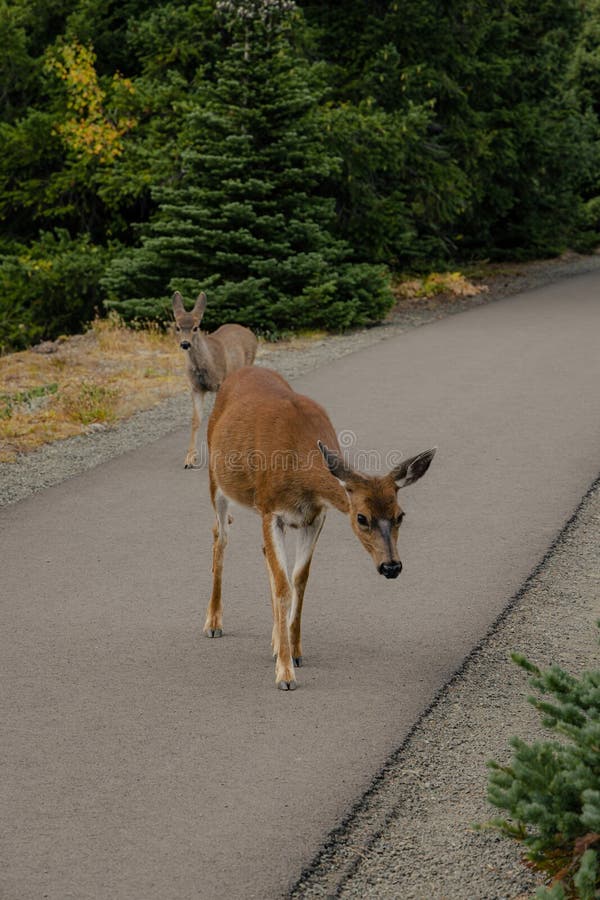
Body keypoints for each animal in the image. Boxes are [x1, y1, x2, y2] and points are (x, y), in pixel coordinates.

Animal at [172, 291, 258, 468]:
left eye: (195, 327)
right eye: (177, 327)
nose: (185, 344)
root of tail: (251, 333)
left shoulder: (220, 383)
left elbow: (214, 417)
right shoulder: (196, 388)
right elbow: (196, 419)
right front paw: (190, 458)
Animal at [205, 365, 436, 691]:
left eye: (400, 515)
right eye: (361, 517)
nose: (391, 566)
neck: (301, 476)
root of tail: (242, 370)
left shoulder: (314, 516)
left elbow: (299, 579)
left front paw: (294, 651)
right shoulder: (270, 508)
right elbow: (283, 585)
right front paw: (285, 674)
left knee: (263, 552)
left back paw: (274, 639)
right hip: (217, 481)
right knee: (221, 536)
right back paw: (213, 623)